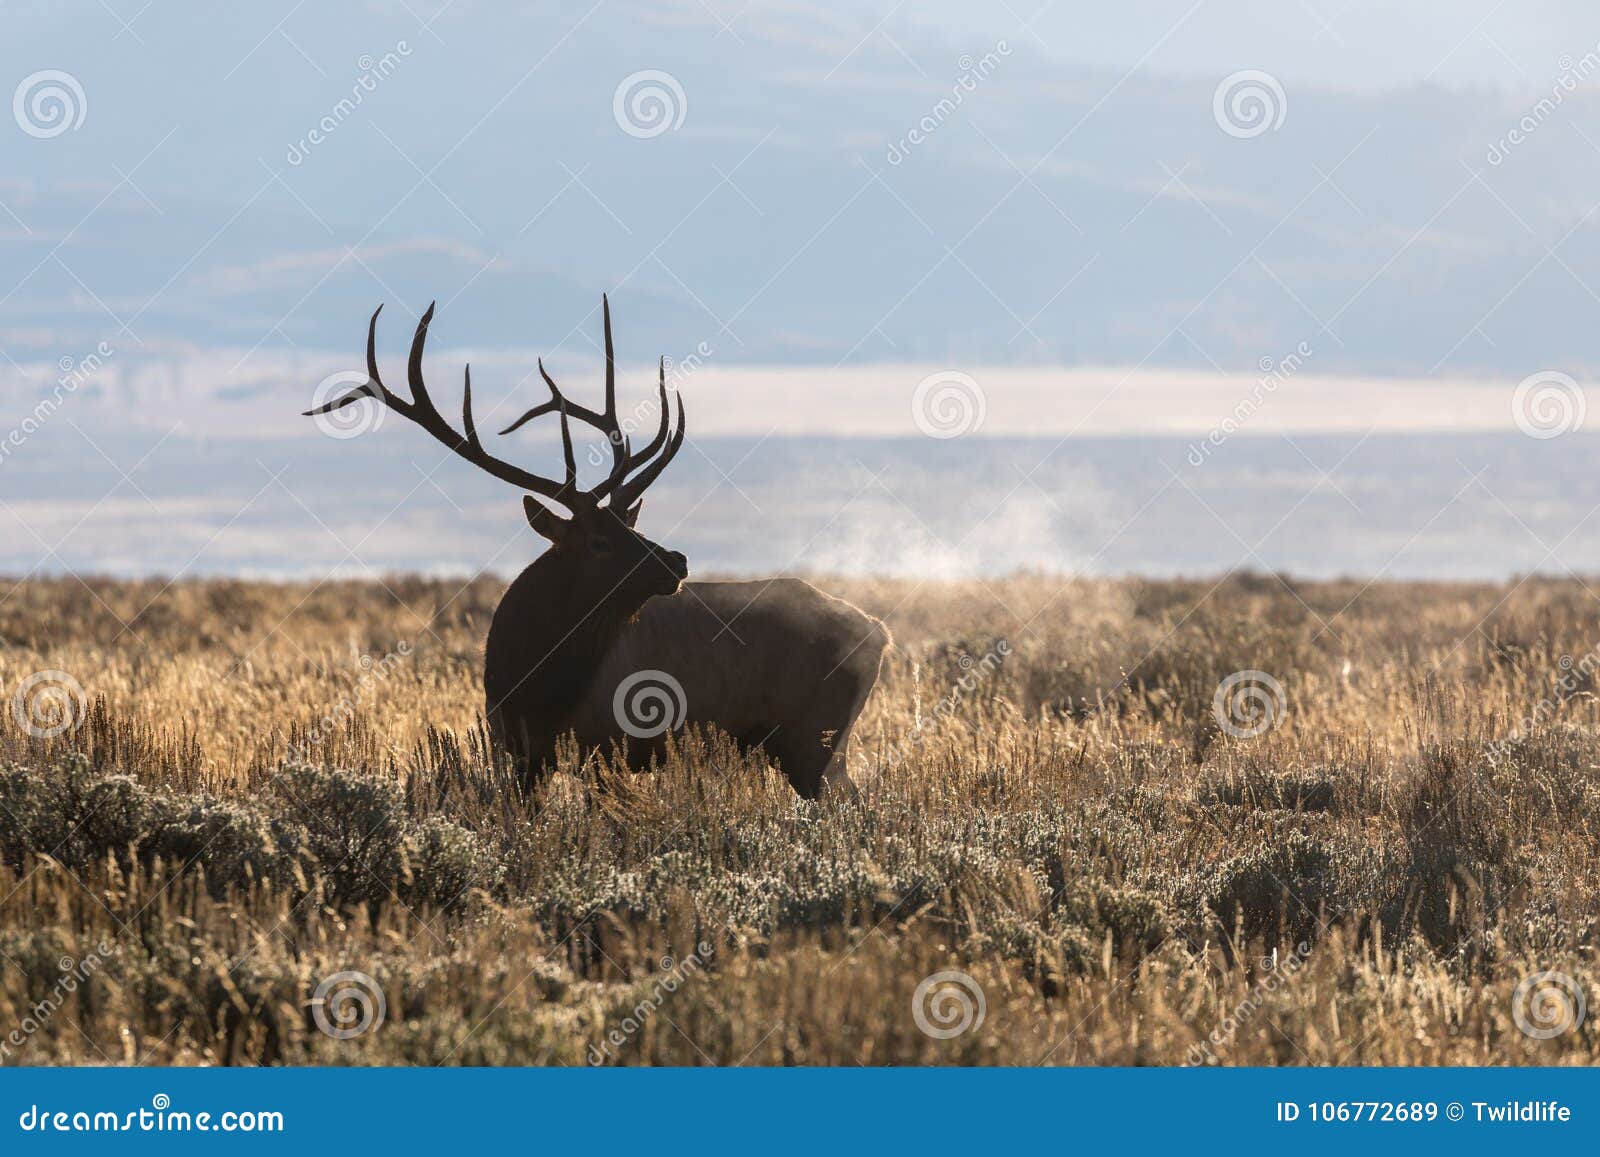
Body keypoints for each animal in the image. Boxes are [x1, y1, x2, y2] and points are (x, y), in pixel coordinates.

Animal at [306, 298, 889, 799]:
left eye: (626, 526)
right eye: (600, 540)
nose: (676, 561)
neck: (532, 677)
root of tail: (877, 631)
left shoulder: (607, 744)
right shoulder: (519, 749)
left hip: (812, 738)